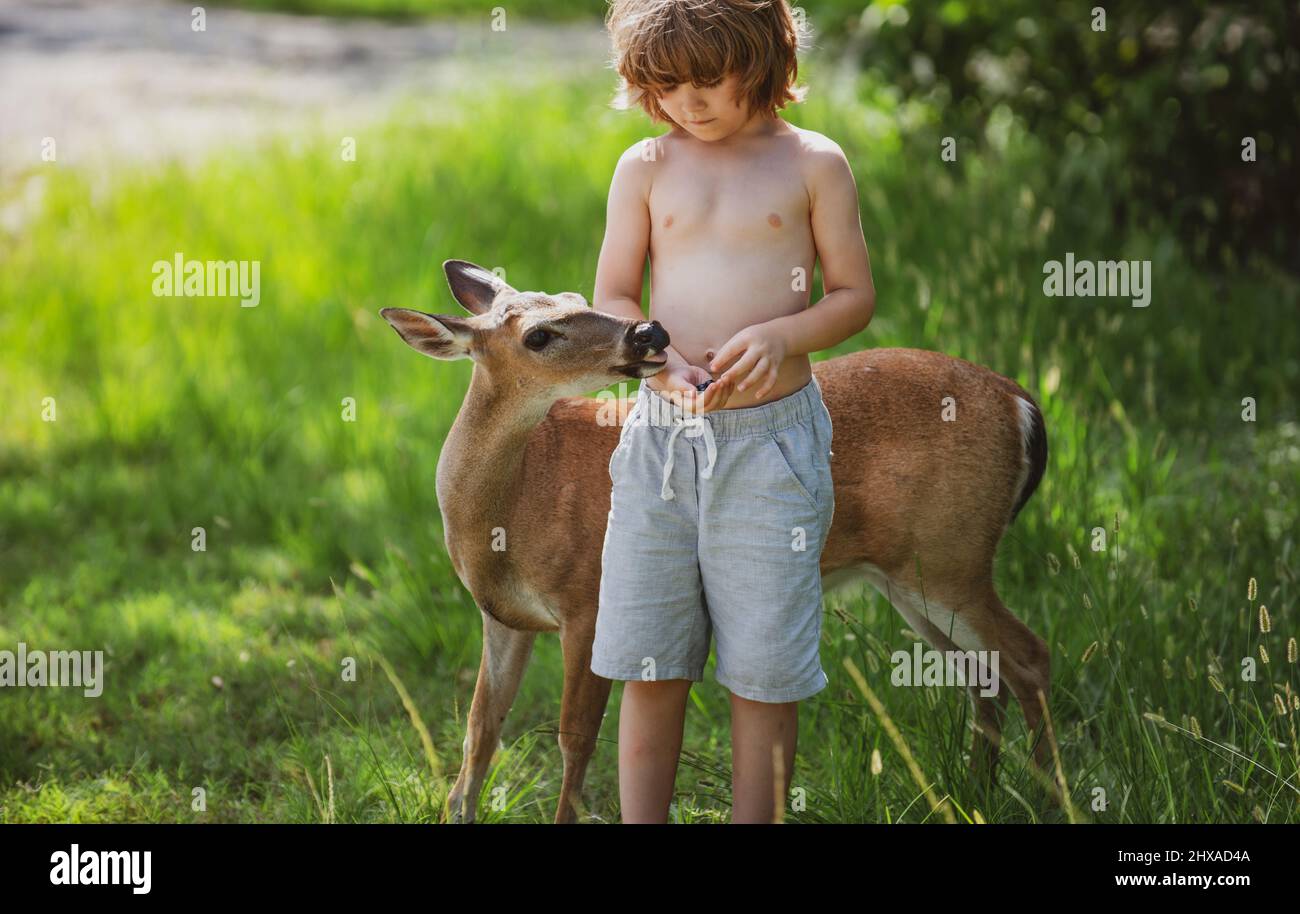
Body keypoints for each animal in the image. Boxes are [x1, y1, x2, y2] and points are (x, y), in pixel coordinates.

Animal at [380, 259, 1050, 824]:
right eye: (540, 334)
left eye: (577, 297)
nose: (647, 332)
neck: (509, 516)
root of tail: (1022, 402)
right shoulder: (504, 617)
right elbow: (481, 729)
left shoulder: (587, 600)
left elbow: (575, 736)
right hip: (913, 575)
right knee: (983, 674)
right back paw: (979, 793)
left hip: (950, 555)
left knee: (1029, 656)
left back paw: (1047, 797)